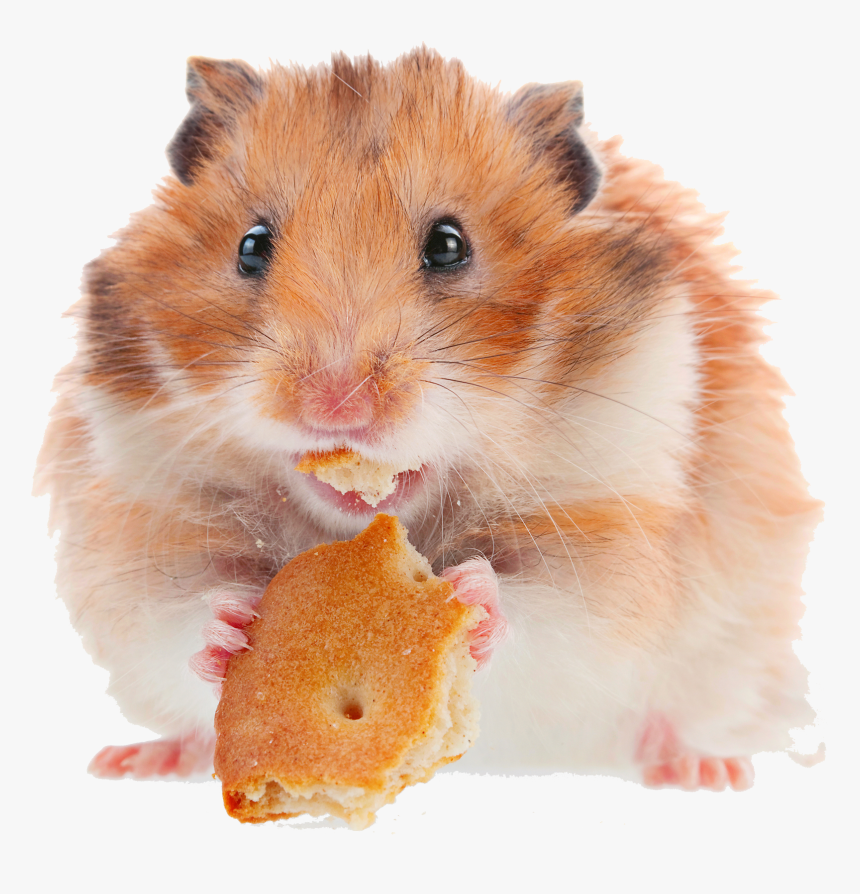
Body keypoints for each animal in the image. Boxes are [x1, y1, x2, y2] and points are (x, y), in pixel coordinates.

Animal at [35, 47, 821, 789]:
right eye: (251, 245)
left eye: (449, 245)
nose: (336, 405)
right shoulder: (142, 527)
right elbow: (173, 619)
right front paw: (231, 626)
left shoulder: (610, 532)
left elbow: (555, 618)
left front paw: (470, 598)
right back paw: (138, 760)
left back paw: (702, 769)